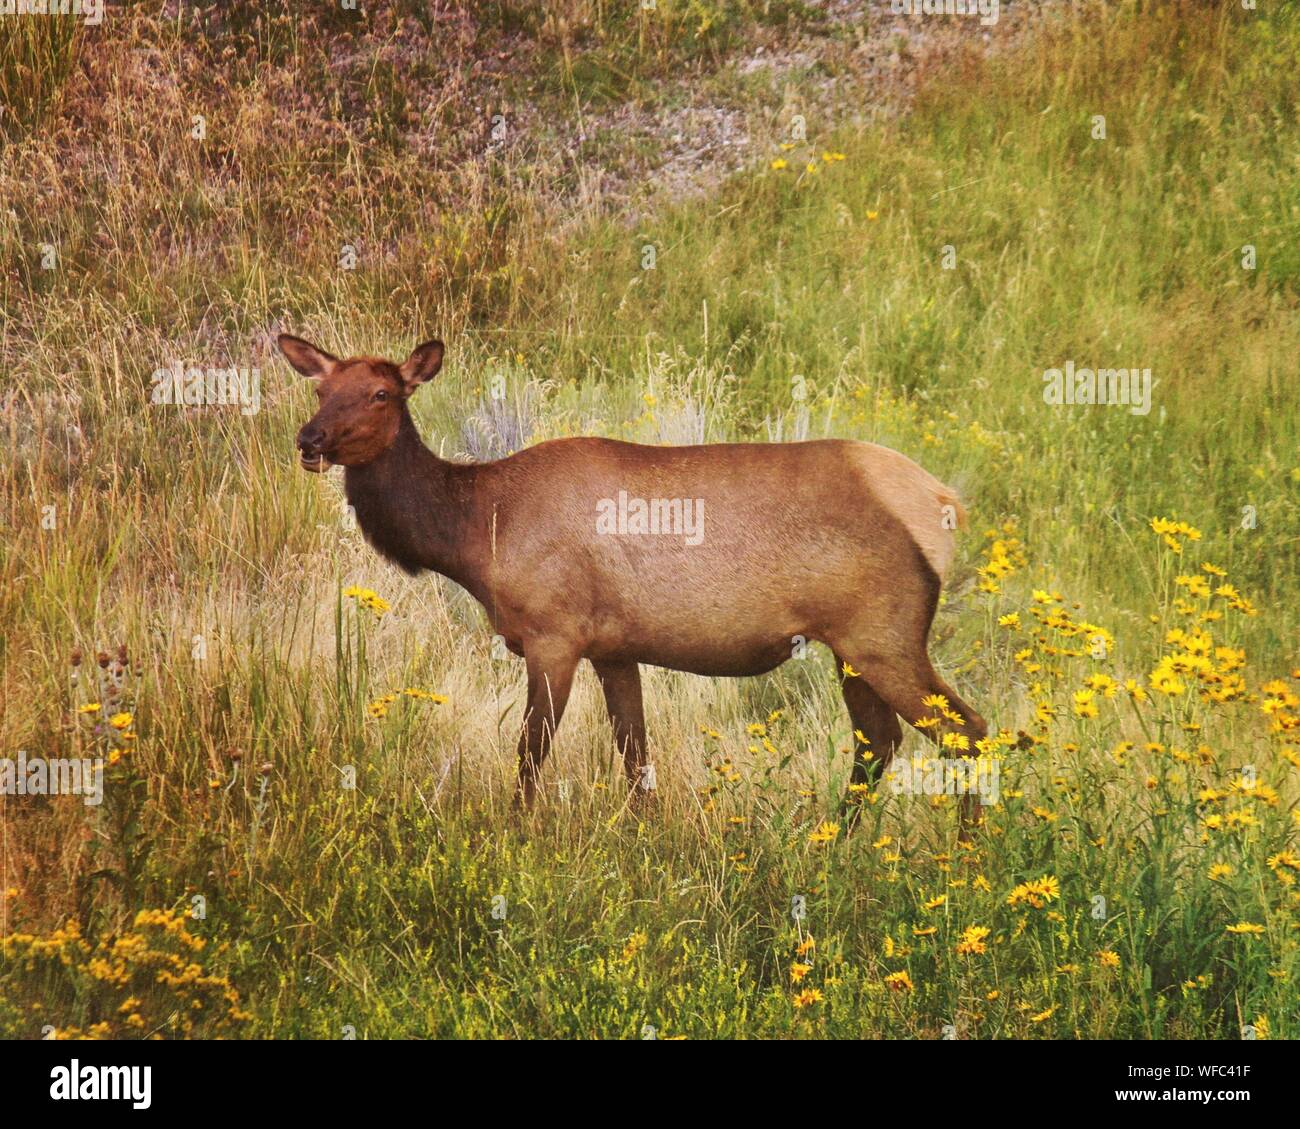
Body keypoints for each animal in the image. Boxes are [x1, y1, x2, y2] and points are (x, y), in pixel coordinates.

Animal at [280, 333, 987, 824]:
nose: (310, 439)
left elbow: (530, 754)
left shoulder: (554, 636)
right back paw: (833, 844)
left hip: (884, 633)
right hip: (852, 646)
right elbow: (635, 755)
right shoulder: (615, 650)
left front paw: (515, 837)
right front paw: (644, 838)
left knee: (968, 733)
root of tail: (944, 502)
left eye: (382, 394)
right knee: (879, 744)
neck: (477, 534)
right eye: (320, 390)